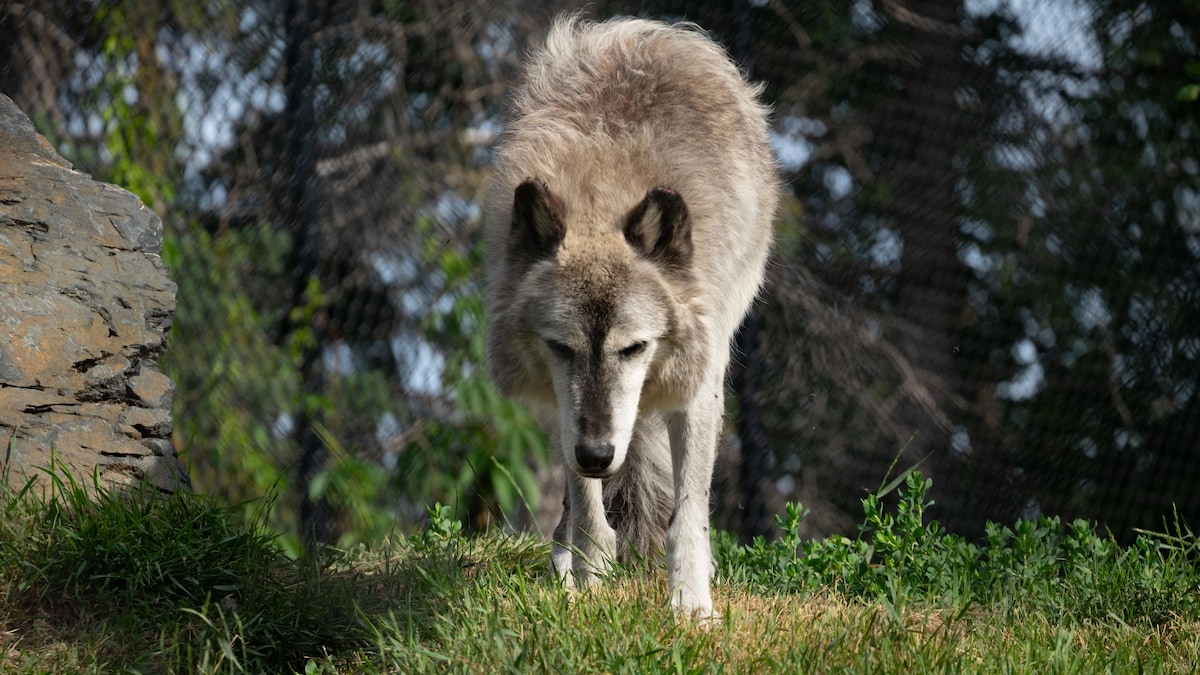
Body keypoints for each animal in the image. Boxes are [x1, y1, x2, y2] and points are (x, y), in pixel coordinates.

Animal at [484, 16, 779, 618]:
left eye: (635, 347)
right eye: (562, 347)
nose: (599, 454)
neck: (605, 189)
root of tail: (653, 31)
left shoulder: (698, 385)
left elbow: (688, 515)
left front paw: (691, 606)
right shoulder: (567, 409)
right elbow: (588, 509)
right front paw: (588, 581)